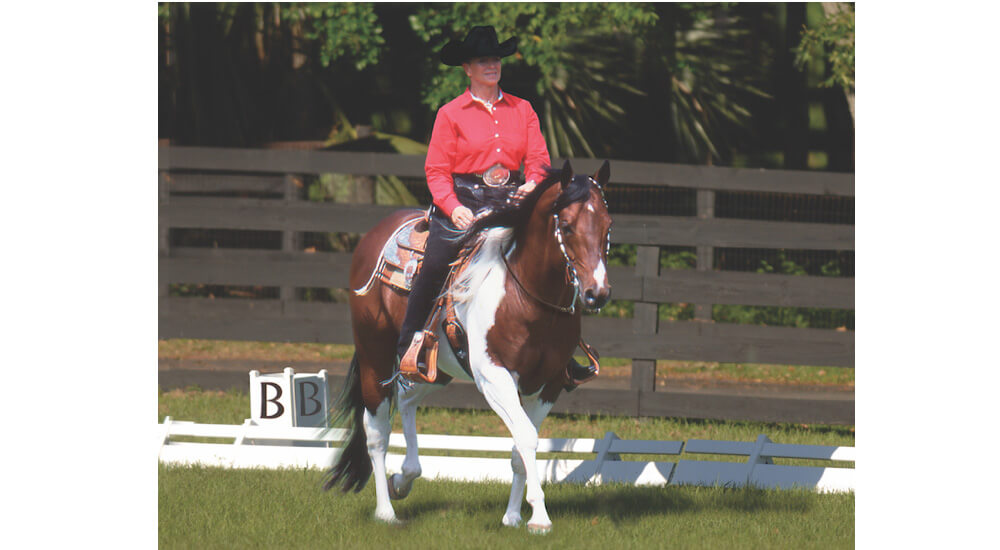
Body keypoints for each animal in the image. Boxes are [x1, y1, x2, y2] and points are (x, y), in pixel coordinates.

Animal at [323, 160, 613, 535]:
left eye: (608, 225)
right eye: (566, 225)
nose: (597, 293)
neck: (527, 297)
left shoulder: (548, 385)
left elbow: (520, 449)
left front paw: (513, 517)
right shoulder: (494, 376)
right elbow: (526, 438)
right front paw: (540, 517)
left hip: (435, 370)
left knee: (407, 399)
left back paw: (404, 478)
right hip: (375, 356)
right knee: (377, 431)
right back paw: (386, 512)